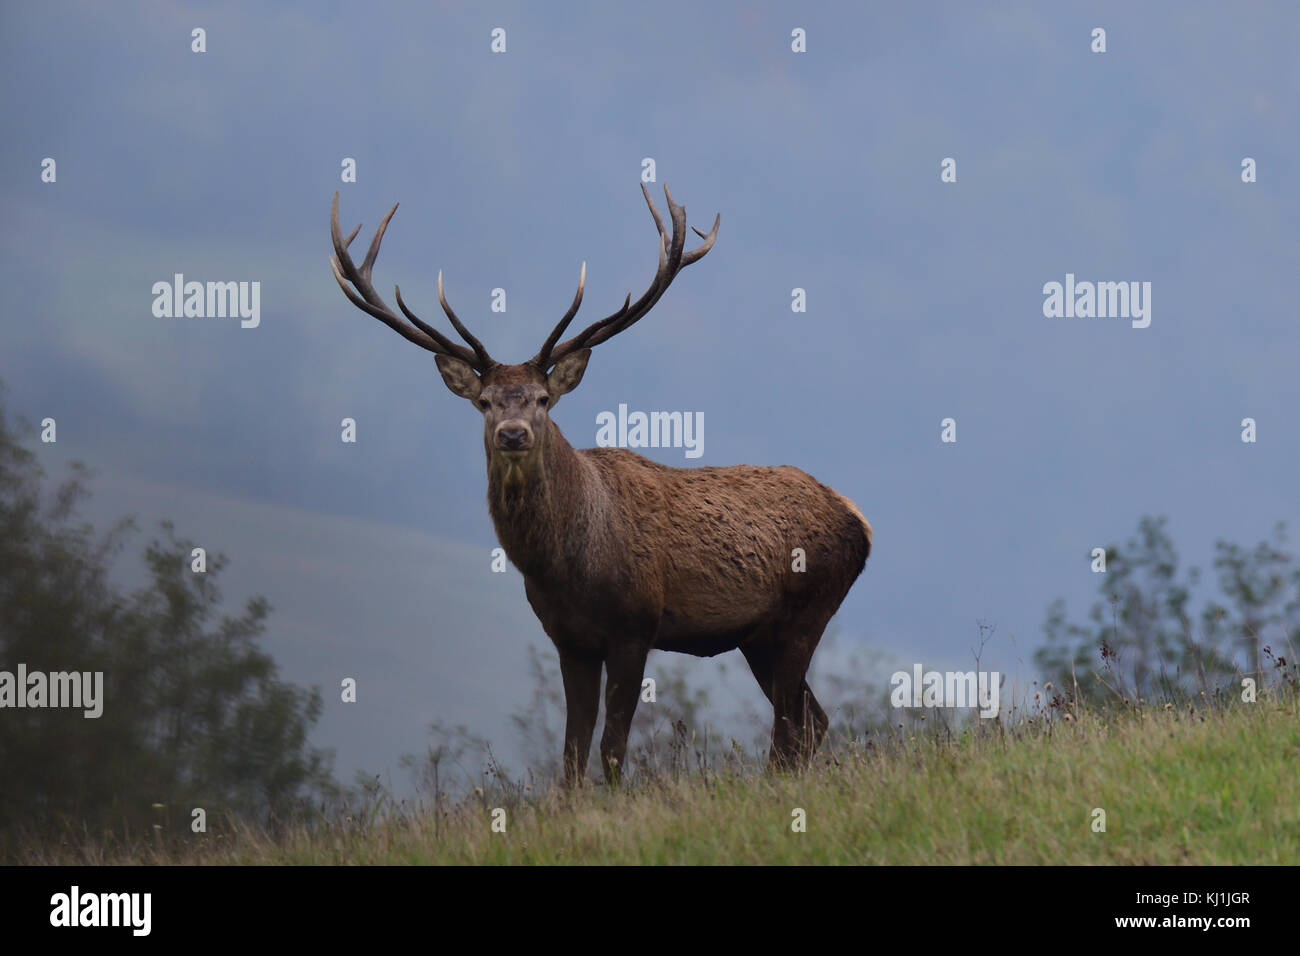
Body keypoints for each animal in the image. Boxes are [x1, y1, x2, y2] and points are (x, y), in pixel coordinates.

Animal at [329, 185, 872, 786]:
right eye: (485, 401)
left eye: (543, 399)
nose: (513, 433)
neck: (566, 568)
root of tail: (859, 520)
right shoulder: (568, 639)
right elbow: (571, 753)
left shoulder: (635, 627)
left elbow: (612, 750)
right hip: (758, 636)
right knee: (812, 720)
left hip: (807, 610)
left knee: (790, 727)